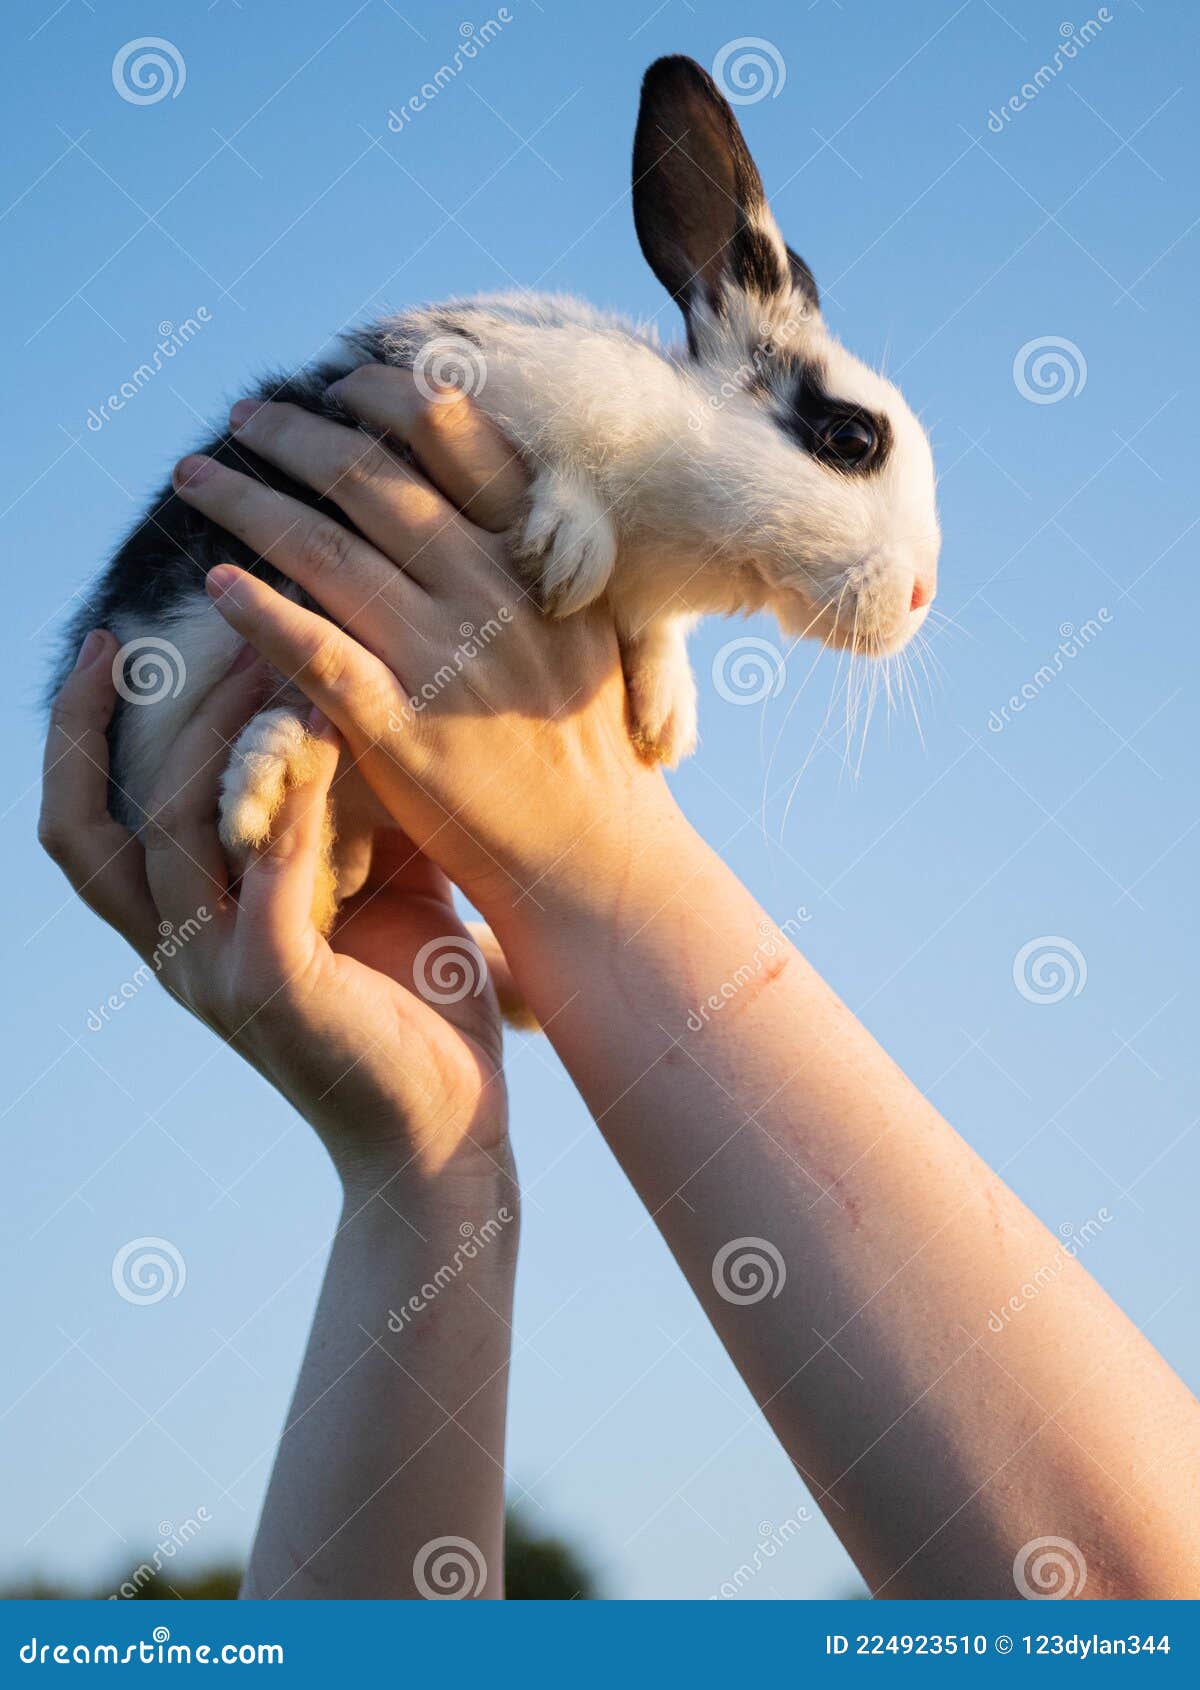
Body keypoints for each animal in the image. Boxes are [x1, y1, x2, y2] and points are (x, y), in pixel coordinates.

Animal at [55, 54, 940, 945]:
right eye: (852, 438)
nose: (919, 595)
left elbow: (655, 633)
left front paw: (664, 717)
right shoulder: (503, 384)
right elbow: (570, 465)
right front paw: (571, 552)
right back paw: (264, 797)